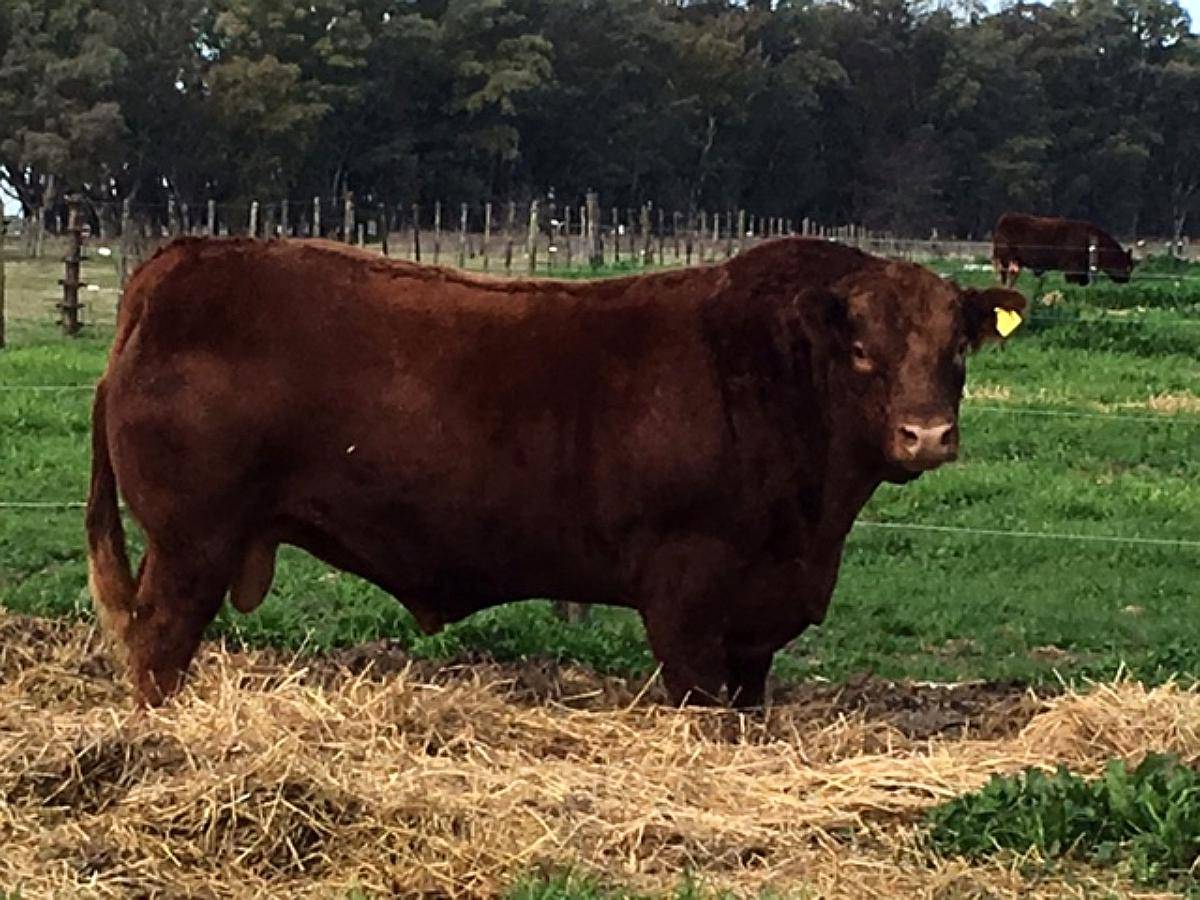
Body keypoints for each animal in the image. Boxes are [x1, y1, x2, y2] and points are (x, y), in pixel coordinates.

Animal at [86, 236, 1026, 708]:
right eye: (862, 351)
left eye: (958, 350)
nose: (926, 435)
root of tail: (179, 259)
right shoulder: (684, 597)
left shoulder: (759, 620)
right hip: (193, 543)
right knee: (158, 648)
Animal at [992, 212, 1134, 288]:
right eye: (1127, 266)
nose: (1126, 280)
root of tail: (1004, 220)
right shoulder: (1072, 269)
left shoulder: (1083, 271)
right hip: (1005, 260)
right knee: (1003, 276)